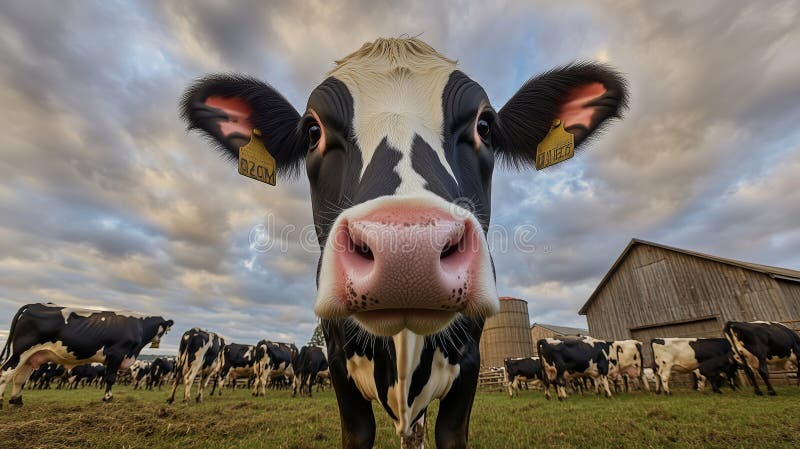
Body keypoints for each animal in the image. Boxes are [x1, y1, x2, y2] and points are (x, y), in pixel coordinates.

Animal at [0, 303, 172, 407]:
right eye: (163, 329)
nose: (158, 340)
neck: (139, 325)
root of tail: (34, 305)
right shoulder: (117, 354)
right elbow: (110, 378)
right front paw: (108, 398)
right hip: (20, 351)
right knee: (5, 373)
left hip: (32, 356)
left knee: (20, 378)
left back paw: (17, 401)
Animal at [180, 37, 627, 448]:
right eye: (312, 130)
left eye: (484, 126)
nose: (407, 252)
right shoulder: (338, 365)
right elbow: (359, 432)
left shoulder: (469, 367)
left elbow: (448, 433)